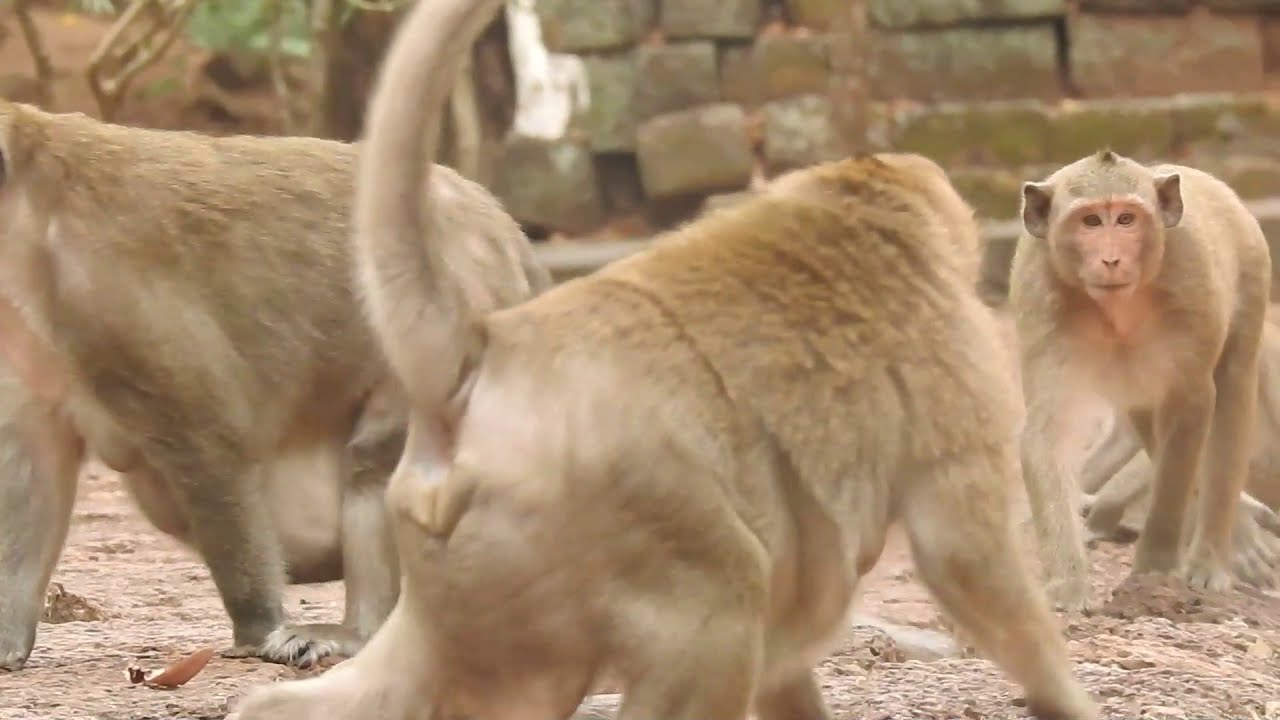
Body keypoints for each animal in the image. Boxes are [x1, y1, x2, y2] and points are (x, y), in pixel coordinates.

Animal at [0, 97, 551, 670]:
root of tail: (503, 226)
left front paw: (257, 627)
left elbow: (208, 442)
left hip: (455, 311)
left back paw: (362, 631)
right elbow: (32, 469)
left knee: (381, 457)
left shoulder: (104, 295)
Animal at [227, 1, 1102, 718]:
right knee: (720, 606)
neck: (851, 208)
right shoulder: (964, 361)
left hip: (463, 562)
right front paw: (1063, 696)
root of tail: (482, 361)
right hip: (611, 516)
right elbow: (963, 554)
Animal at [1009, 150, 1272, 612]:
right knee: (1146, 417)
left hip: (1253, 268)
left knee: (1231, 397)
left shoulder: (1193, 280)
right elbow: (1050, 430)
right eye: (1090, 221)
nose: (1112, 259)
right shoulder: (1038, 294)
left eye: (1126, 219)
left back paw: (1211, 557)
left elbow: (1191, 407)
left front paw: (1156, 565)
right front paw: (1067, 584)